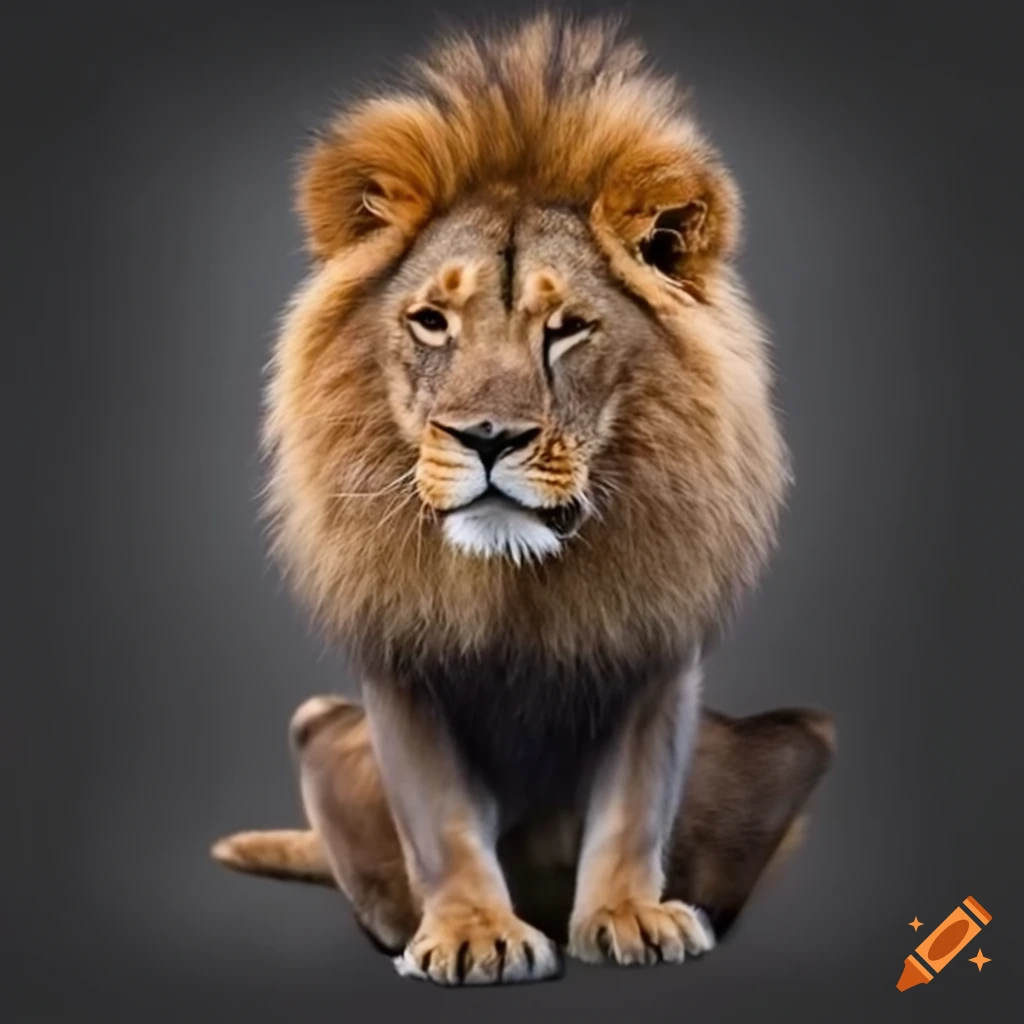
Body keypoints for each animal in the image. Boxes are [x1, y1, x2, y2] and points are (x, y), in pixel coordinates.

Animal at [211, 14, 832, 986]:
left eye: (568, 328)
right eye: (433, 321)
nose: (488, 438)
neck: (521, 578)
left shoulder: (657, 653)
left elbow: (632, 806)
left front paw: (629, 914)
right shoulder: (403, 665)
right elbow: (442, 821)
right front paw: (473, 932)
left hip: (803, 734)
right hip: (316, 725)